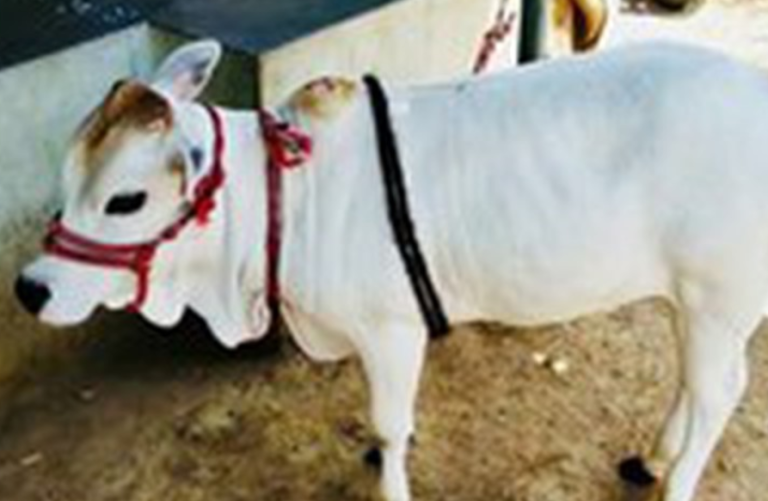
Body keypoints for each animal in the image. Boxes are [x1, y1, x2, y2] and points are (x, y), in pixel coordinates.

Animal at [15, 39, 768, 501]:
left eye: (126, 200)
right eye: (66, 179)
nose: (30, 287)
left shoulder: (392, 329)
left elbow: (387, 423)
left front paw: (389, 475)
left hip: (719, 295)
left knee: (719, 391)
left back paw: (675, 481)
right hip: (689, 298)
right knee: (690, 378)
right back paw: (653, 456)